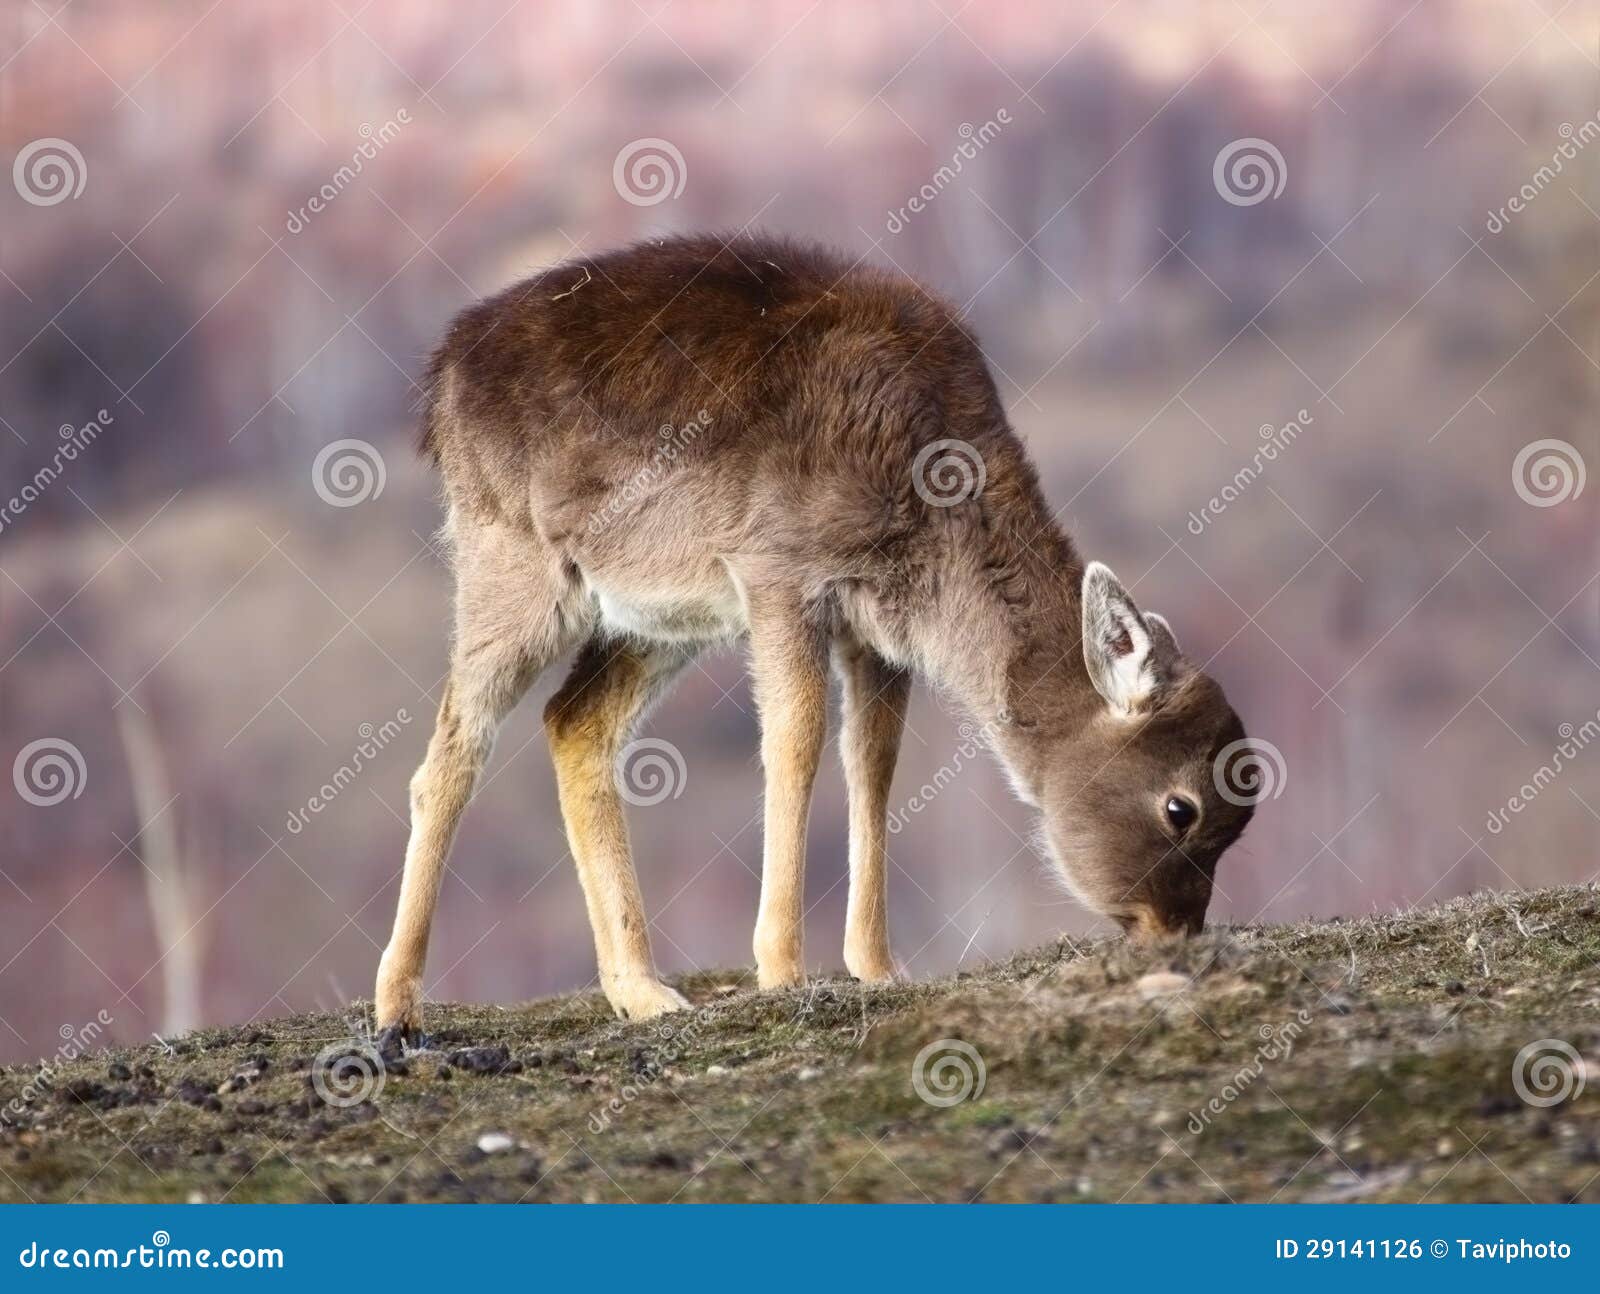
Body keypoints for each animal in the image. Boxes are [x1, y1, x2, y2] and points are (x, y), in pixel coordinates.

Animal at [374, 233, 1255, 1039]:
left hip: (659, 614)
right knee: (450, 750)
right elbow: (795, 741)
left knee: (575, 721)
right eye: (1180, 809)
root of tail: (440, 375)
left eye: (1234, 821)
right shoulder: (776, 571)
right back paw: (398, 1006)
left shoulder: (876, 630)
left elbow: (873, 761)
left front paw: (878, 965)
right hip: (512, 559)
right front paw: (782, 967)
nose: (1176, 933)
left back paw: (642, 991)